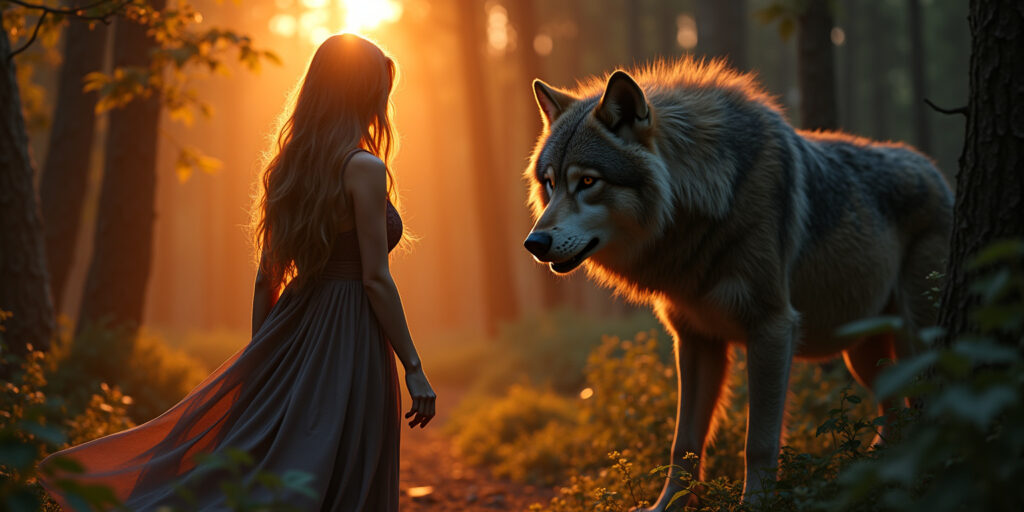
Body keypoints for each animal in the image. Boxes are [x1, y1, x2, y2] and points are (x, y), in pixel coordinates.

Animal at [522, 58, 952, 508]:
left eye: (588, 182)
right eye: (550, 182)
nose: (534, 243)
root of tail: (937, 172)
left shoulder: (772, 328)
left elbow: (758, 442)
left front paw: (755, 504)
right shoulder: (695, 340)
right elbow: (683, 444)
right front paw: (666, 505)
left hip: (911, 341)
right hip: (865, 357)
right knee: (893, 412)